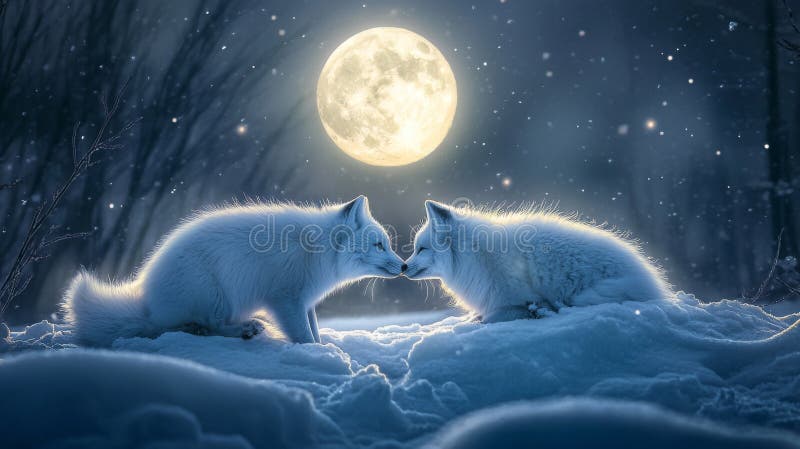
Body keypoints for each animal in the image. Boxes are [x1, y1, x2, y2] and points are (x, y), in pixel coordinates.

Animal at [63, 196, 405, 346]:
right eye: (379, 245)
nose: (402, 265)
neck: (318, 250)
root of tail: (148, 300)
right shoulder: (285, 300)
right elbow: (305, 337)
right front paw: (319, 356)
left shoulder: (305, 302)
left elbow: (315, 332)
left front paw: (328, 351)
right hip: (215, 295)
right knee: (200, 326)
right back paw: (239, 330)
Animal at [403, 200, 673, 322]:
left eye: (421, 249)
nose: (404, 266)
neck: (476, 256)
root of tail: (653, 283)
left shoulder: (510, 299)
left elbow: (491, 317)